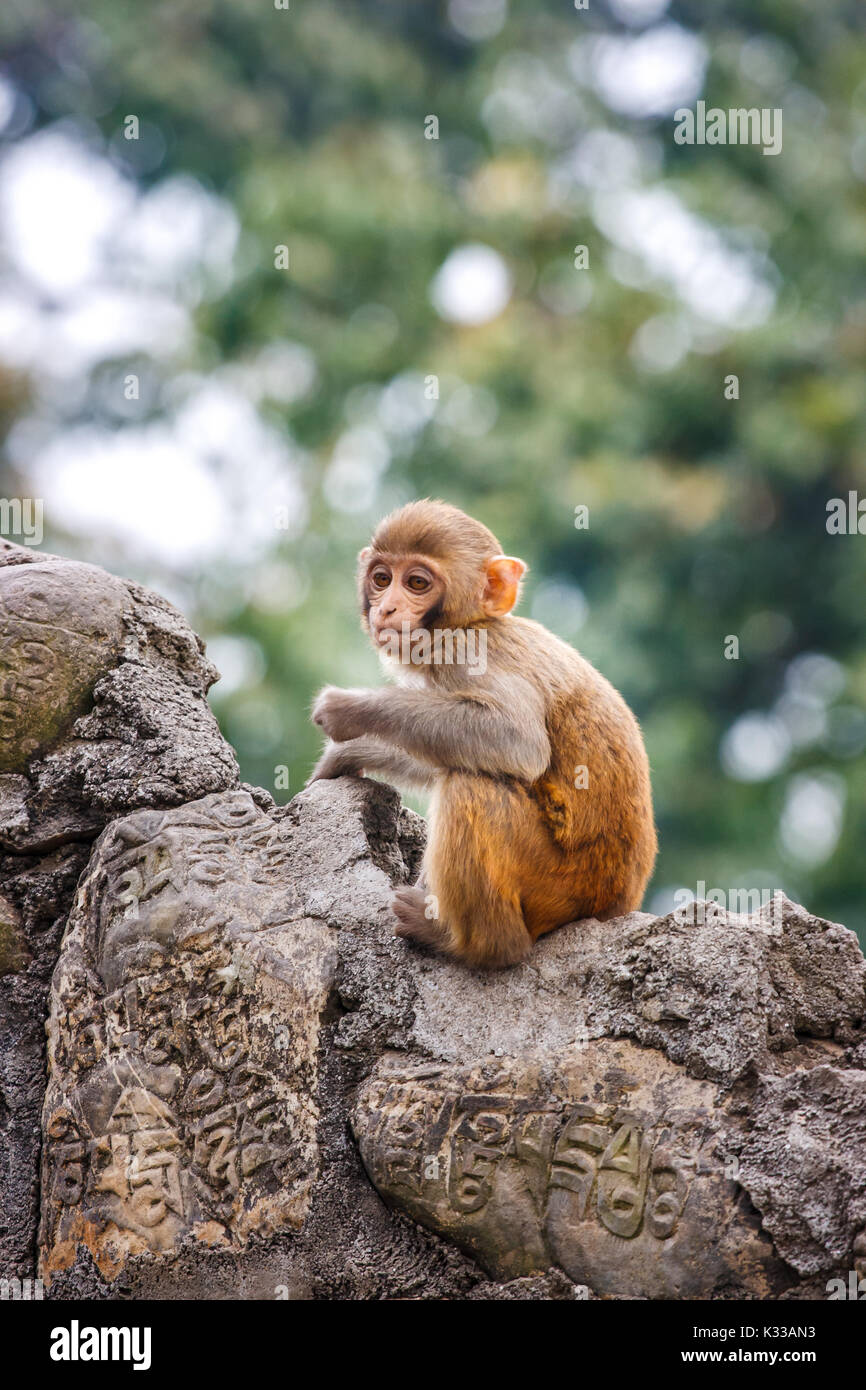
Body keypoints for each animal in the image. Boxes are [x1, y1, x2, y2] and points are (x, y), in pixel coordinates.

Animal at [309, 499, 657, 969]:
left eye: (416, 583)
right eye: (382, 579)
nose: (386, 609)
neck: (473, 622)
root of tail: (617, 904)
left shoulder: (467, 655)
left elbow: (515, 742)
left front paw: (347, 710)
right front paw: (351, 753)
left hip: (558, 886)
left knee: (471, 785)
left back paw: (475, 943)